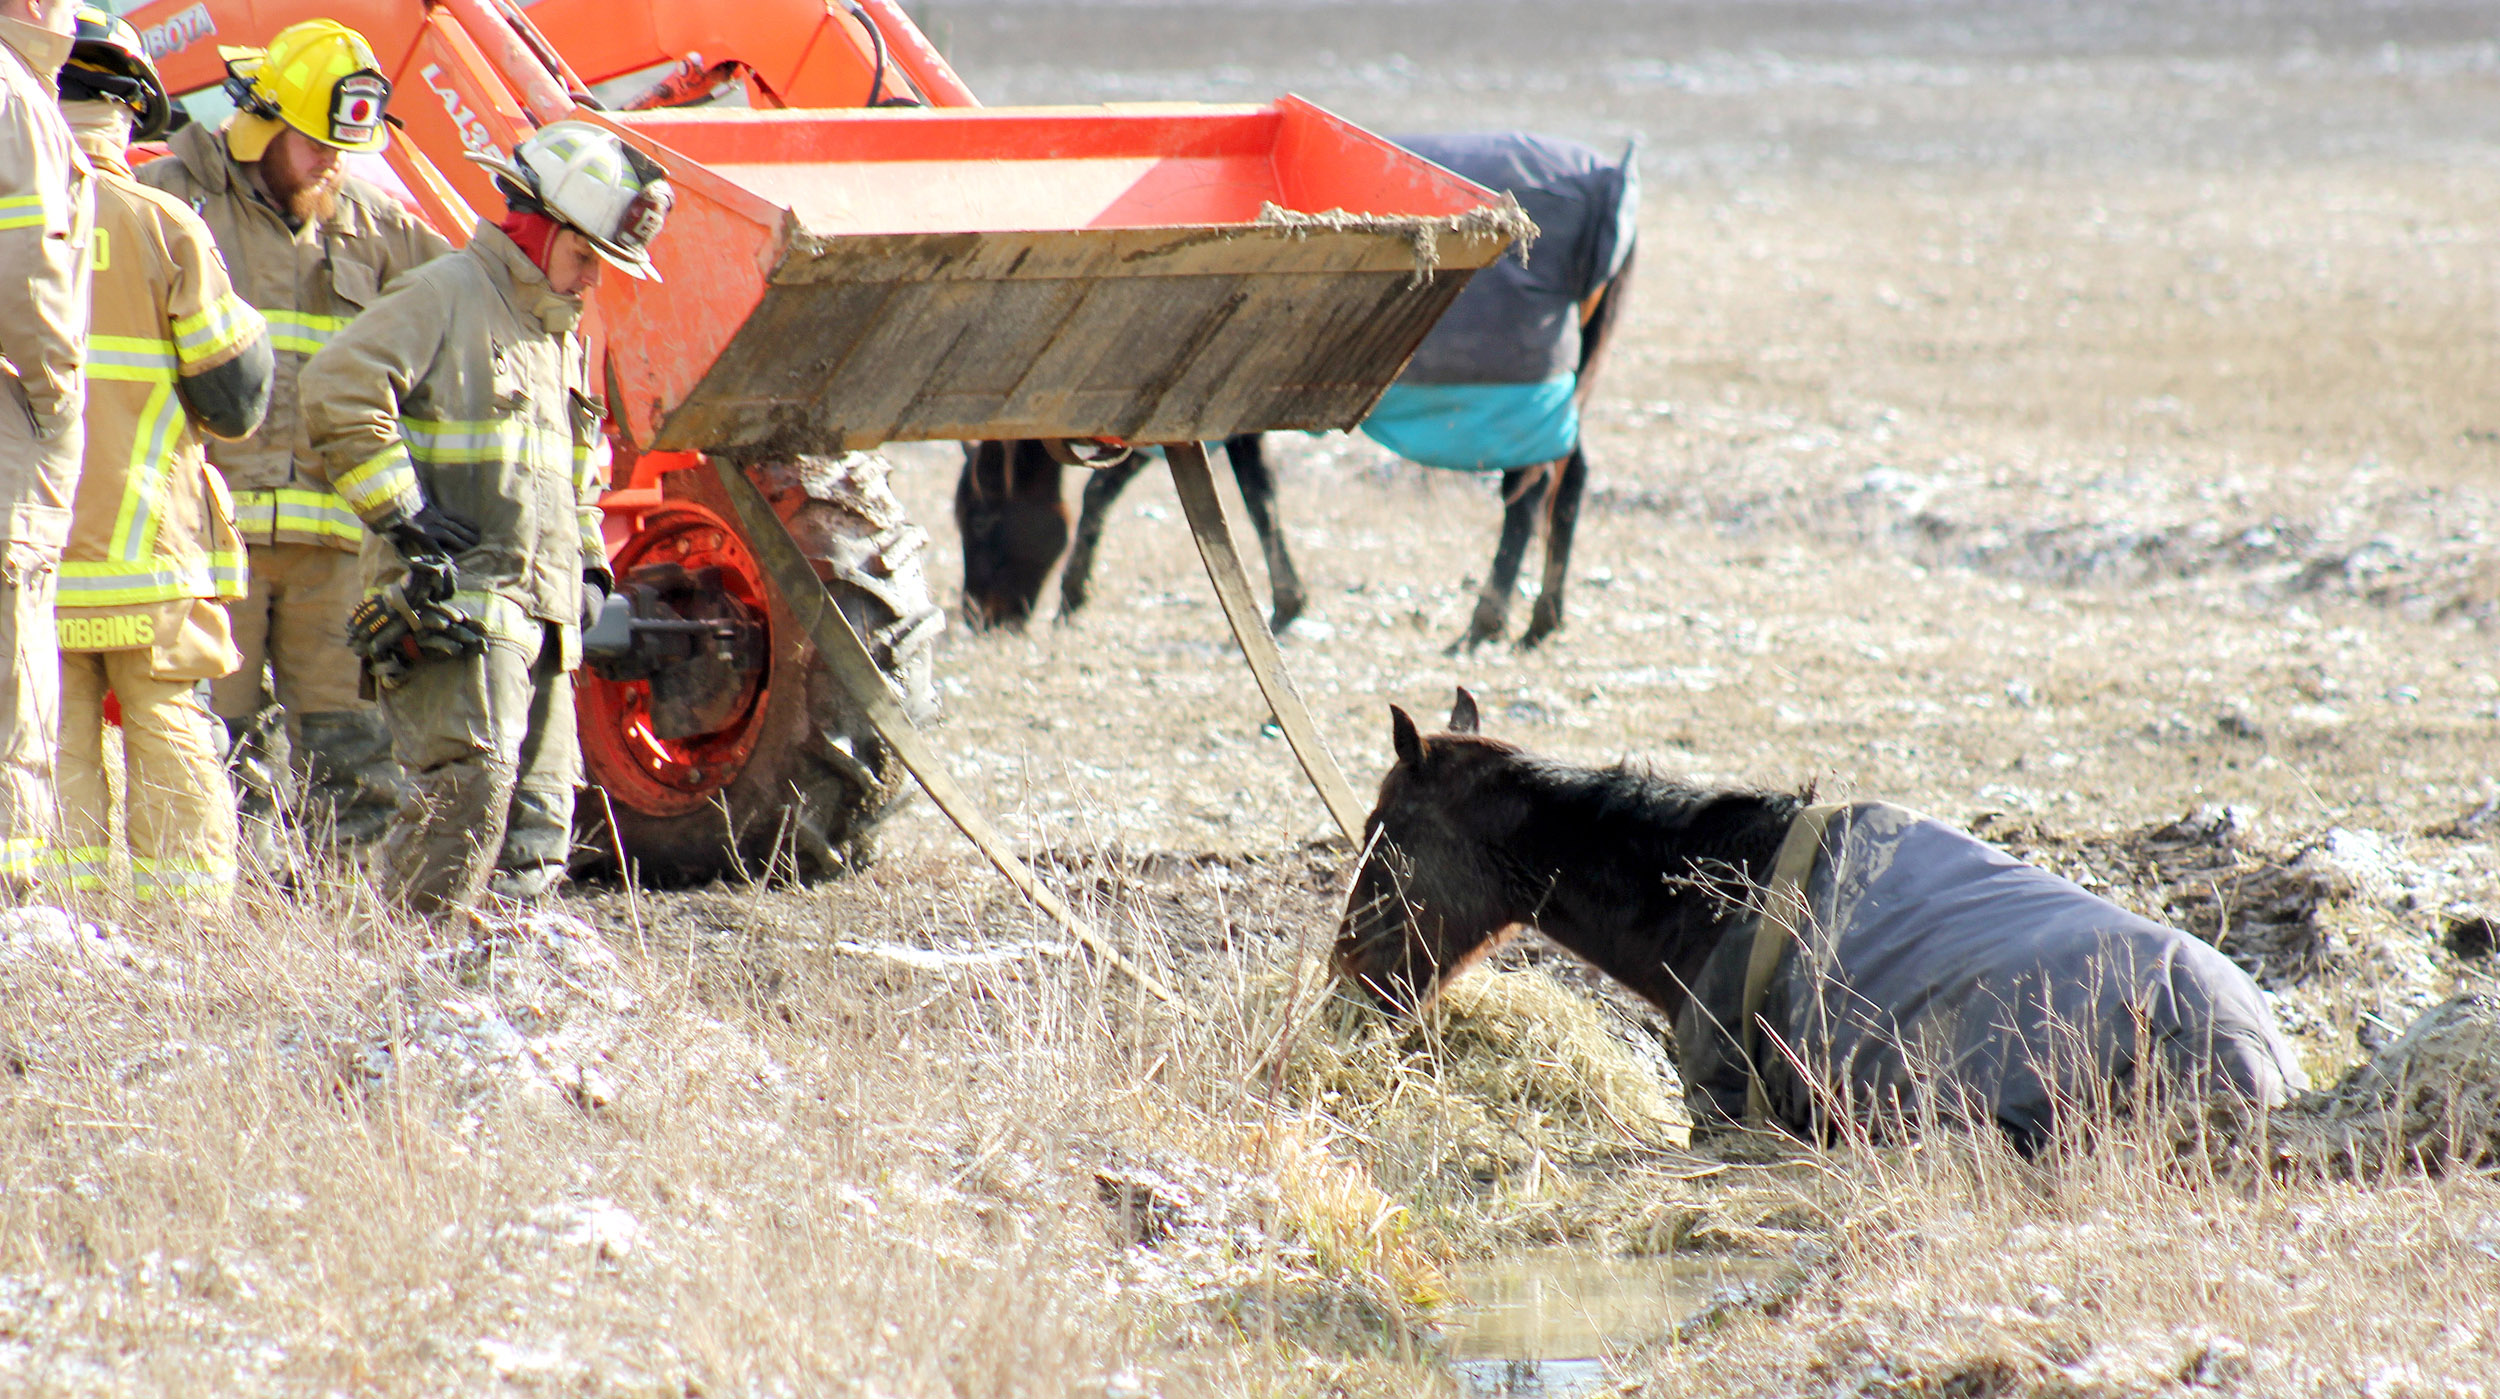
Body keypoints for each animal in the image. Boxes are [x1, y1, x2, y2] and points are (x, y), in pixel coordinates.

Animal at [952, 131, 1638, 653]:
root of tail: (1612, 190)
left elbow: (1152, 492)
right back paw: (1540, 623)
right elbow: (1251, 492)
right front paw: (1286, 603)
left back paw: (1483, 624)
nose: (981, 617)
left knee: (1528, 494)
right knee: (1569, 479)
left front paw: (1076, 597)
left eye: (980, 517)